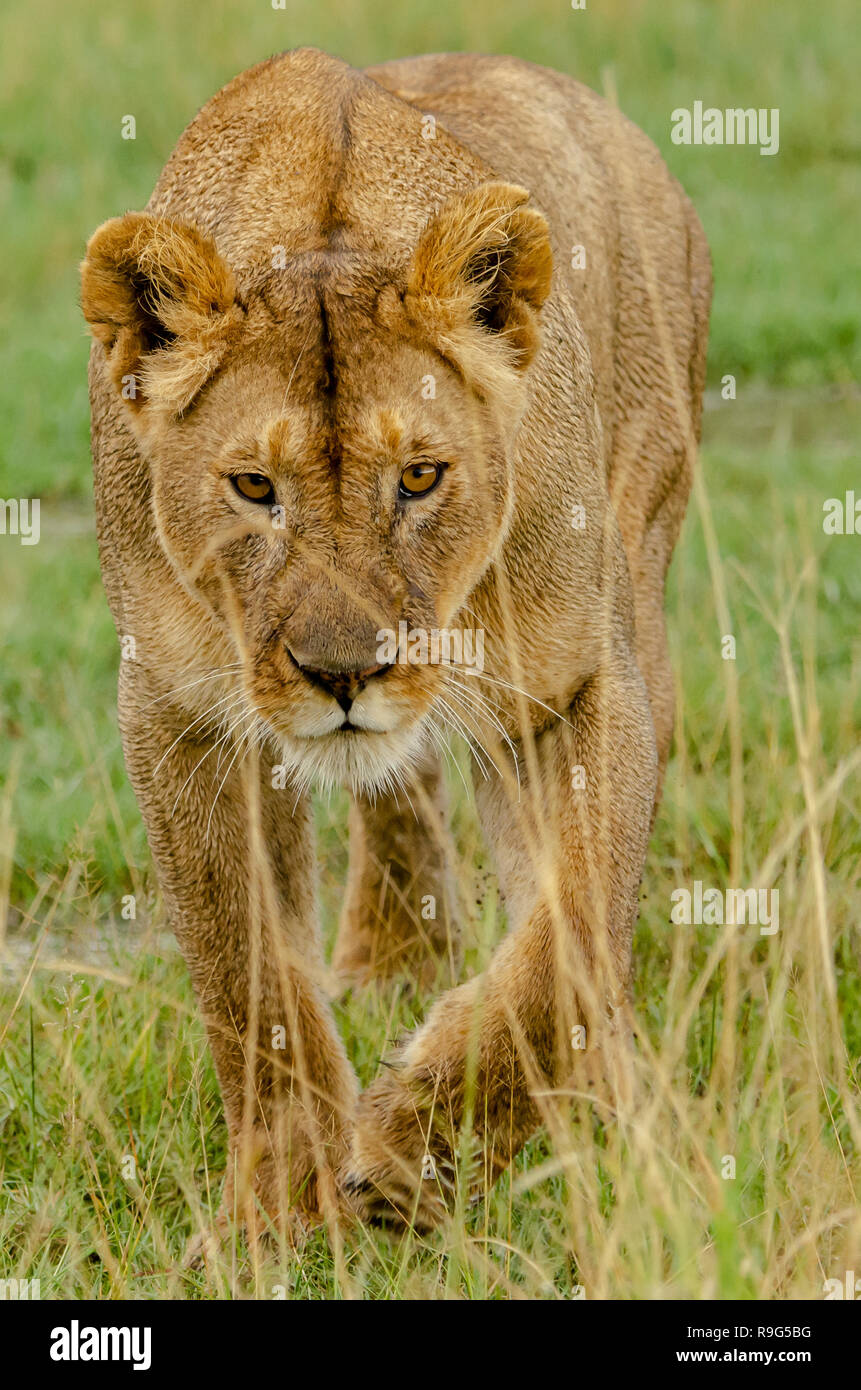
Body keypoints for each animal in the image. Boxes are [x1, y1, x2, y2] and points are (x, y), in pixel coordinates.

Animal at [81, 47, 710, 1239]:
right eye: (254, 488)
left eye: (419, 477)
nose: (343, 674)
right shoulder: (177, 712)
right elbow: (248, 974)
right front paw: (283, 1205)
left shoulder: (576, 686)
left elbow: (567, 938)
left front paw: (414, 1144)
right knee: (397, 791)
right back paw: (388, 968)